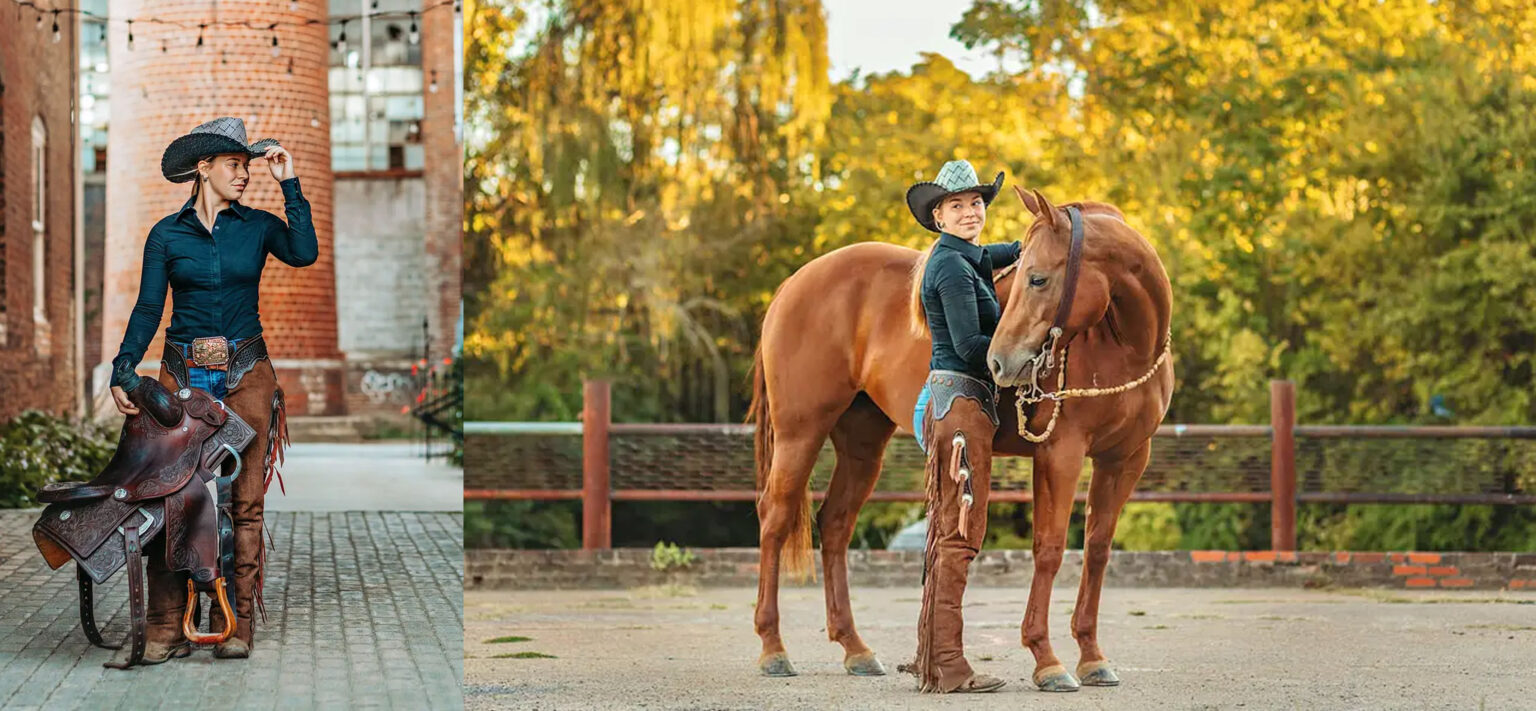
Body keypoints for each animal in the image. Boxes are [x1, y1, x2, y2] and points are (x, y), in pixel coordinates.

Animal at [748, 186, 1174, 690]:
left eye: (1038, 278)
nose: (1000, 361)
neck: (1123, 345)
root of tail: (792, 285)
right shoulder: (1060, 453)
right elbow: (1049, 549)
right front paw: (1047, 659)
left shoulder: (1125, 458)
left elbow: (1098, 549)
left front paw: (1091, 657)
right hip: (801, 432)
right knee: (775, 519)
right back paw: (773, 648)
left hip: (862, 443)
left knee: (834, 523)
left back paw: (855, 649)